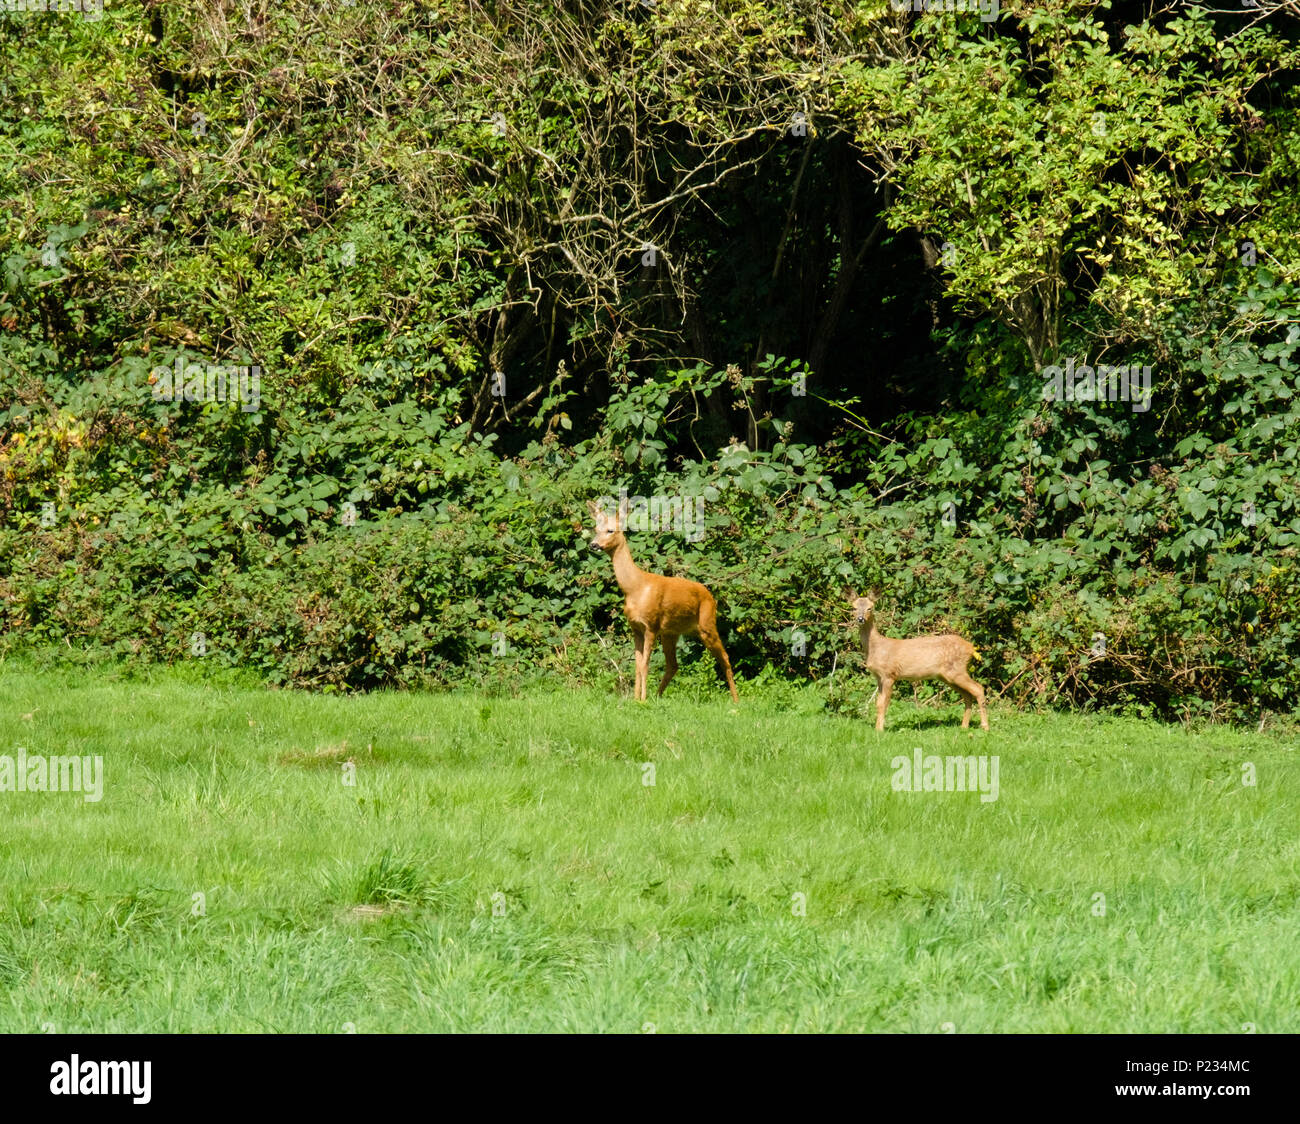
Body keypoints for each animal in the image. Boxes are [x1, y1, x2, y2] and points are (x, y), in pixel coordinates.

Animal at [587, 499, 739, 703]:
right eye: (596, 529)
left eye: (610, 530)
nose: (593, 545)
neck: (635, 588)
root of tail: (709, 594)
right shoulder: (636, 627)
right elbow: (637, 665)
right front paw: (636, 699)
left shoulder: (651, 624)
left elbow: (645, 665)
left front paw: (642, 700)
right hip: (671, 632)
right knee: (673, 665)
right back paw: (658, 696)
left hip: (707, 624)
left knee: (725, 657)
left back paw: (736, 700)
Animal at [850, 591, 987, 731]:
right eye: (854, 608)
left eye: (870, 608)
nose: (860, 619)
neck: (876, 647)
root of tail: (971, 647)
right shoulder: (878, 677)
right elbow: (878, 703)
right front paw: (877, 728)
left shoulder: (889, 674)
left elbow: (884, 703)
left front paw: (880, 730)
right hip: (947, 676)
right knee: (967, 695)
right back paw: (964, 726)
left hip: (956, 670)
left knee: (978, 688)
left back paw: (985, 727)